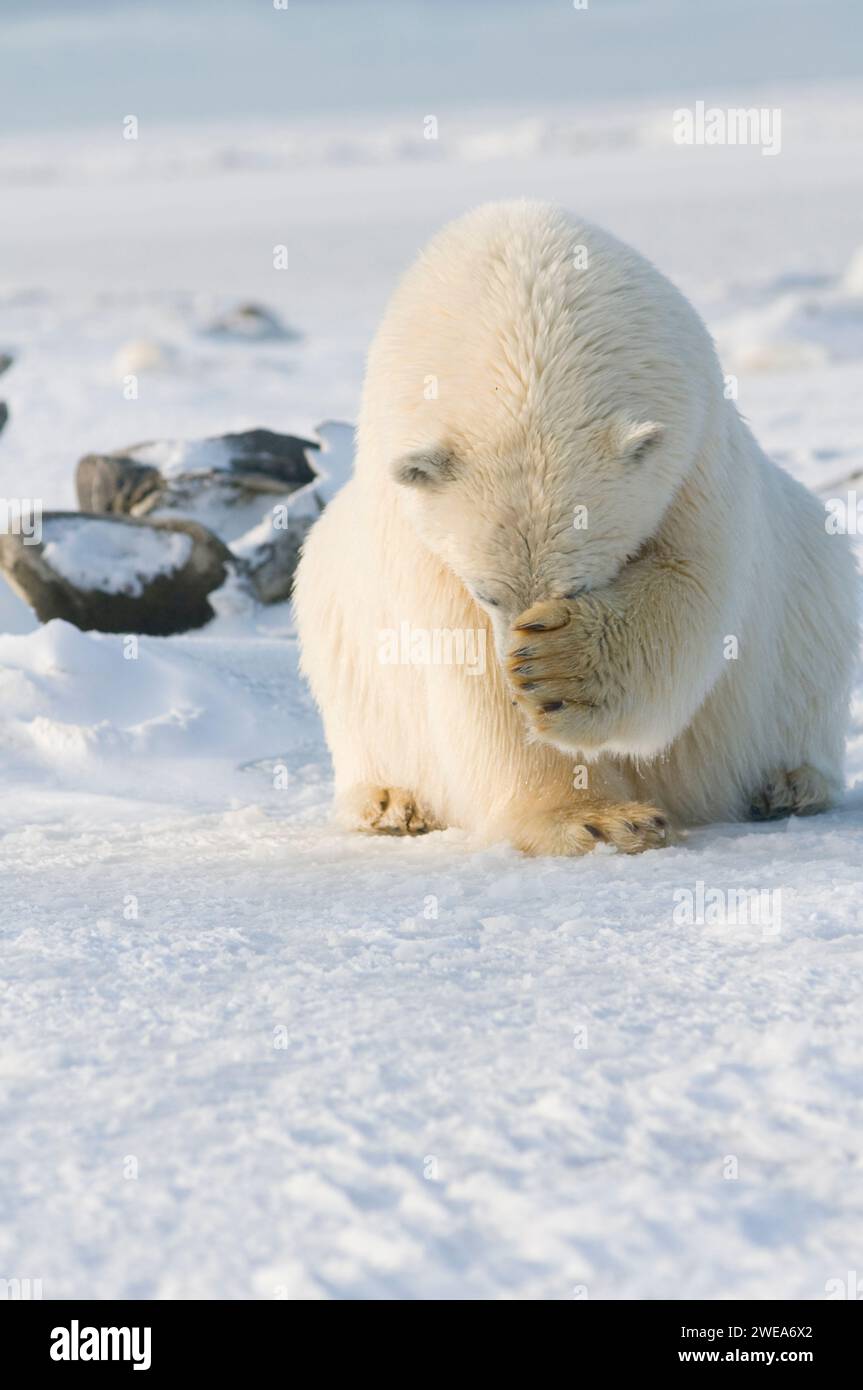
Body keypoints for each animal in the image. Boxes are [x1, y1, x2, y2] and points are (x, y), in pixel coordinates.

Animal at [294, 201, 858, 855]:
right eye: (488, 593)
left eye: (580, 585)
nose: (521, 657)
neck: (525, 314)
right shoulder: (417, 528)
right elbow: (465, 665)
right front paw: (595, 819)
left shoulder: (693, 451)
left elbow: (693, 583)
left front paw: (558, 674)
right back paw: (389, 803)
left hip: (811, 592)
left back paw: (789, 783)